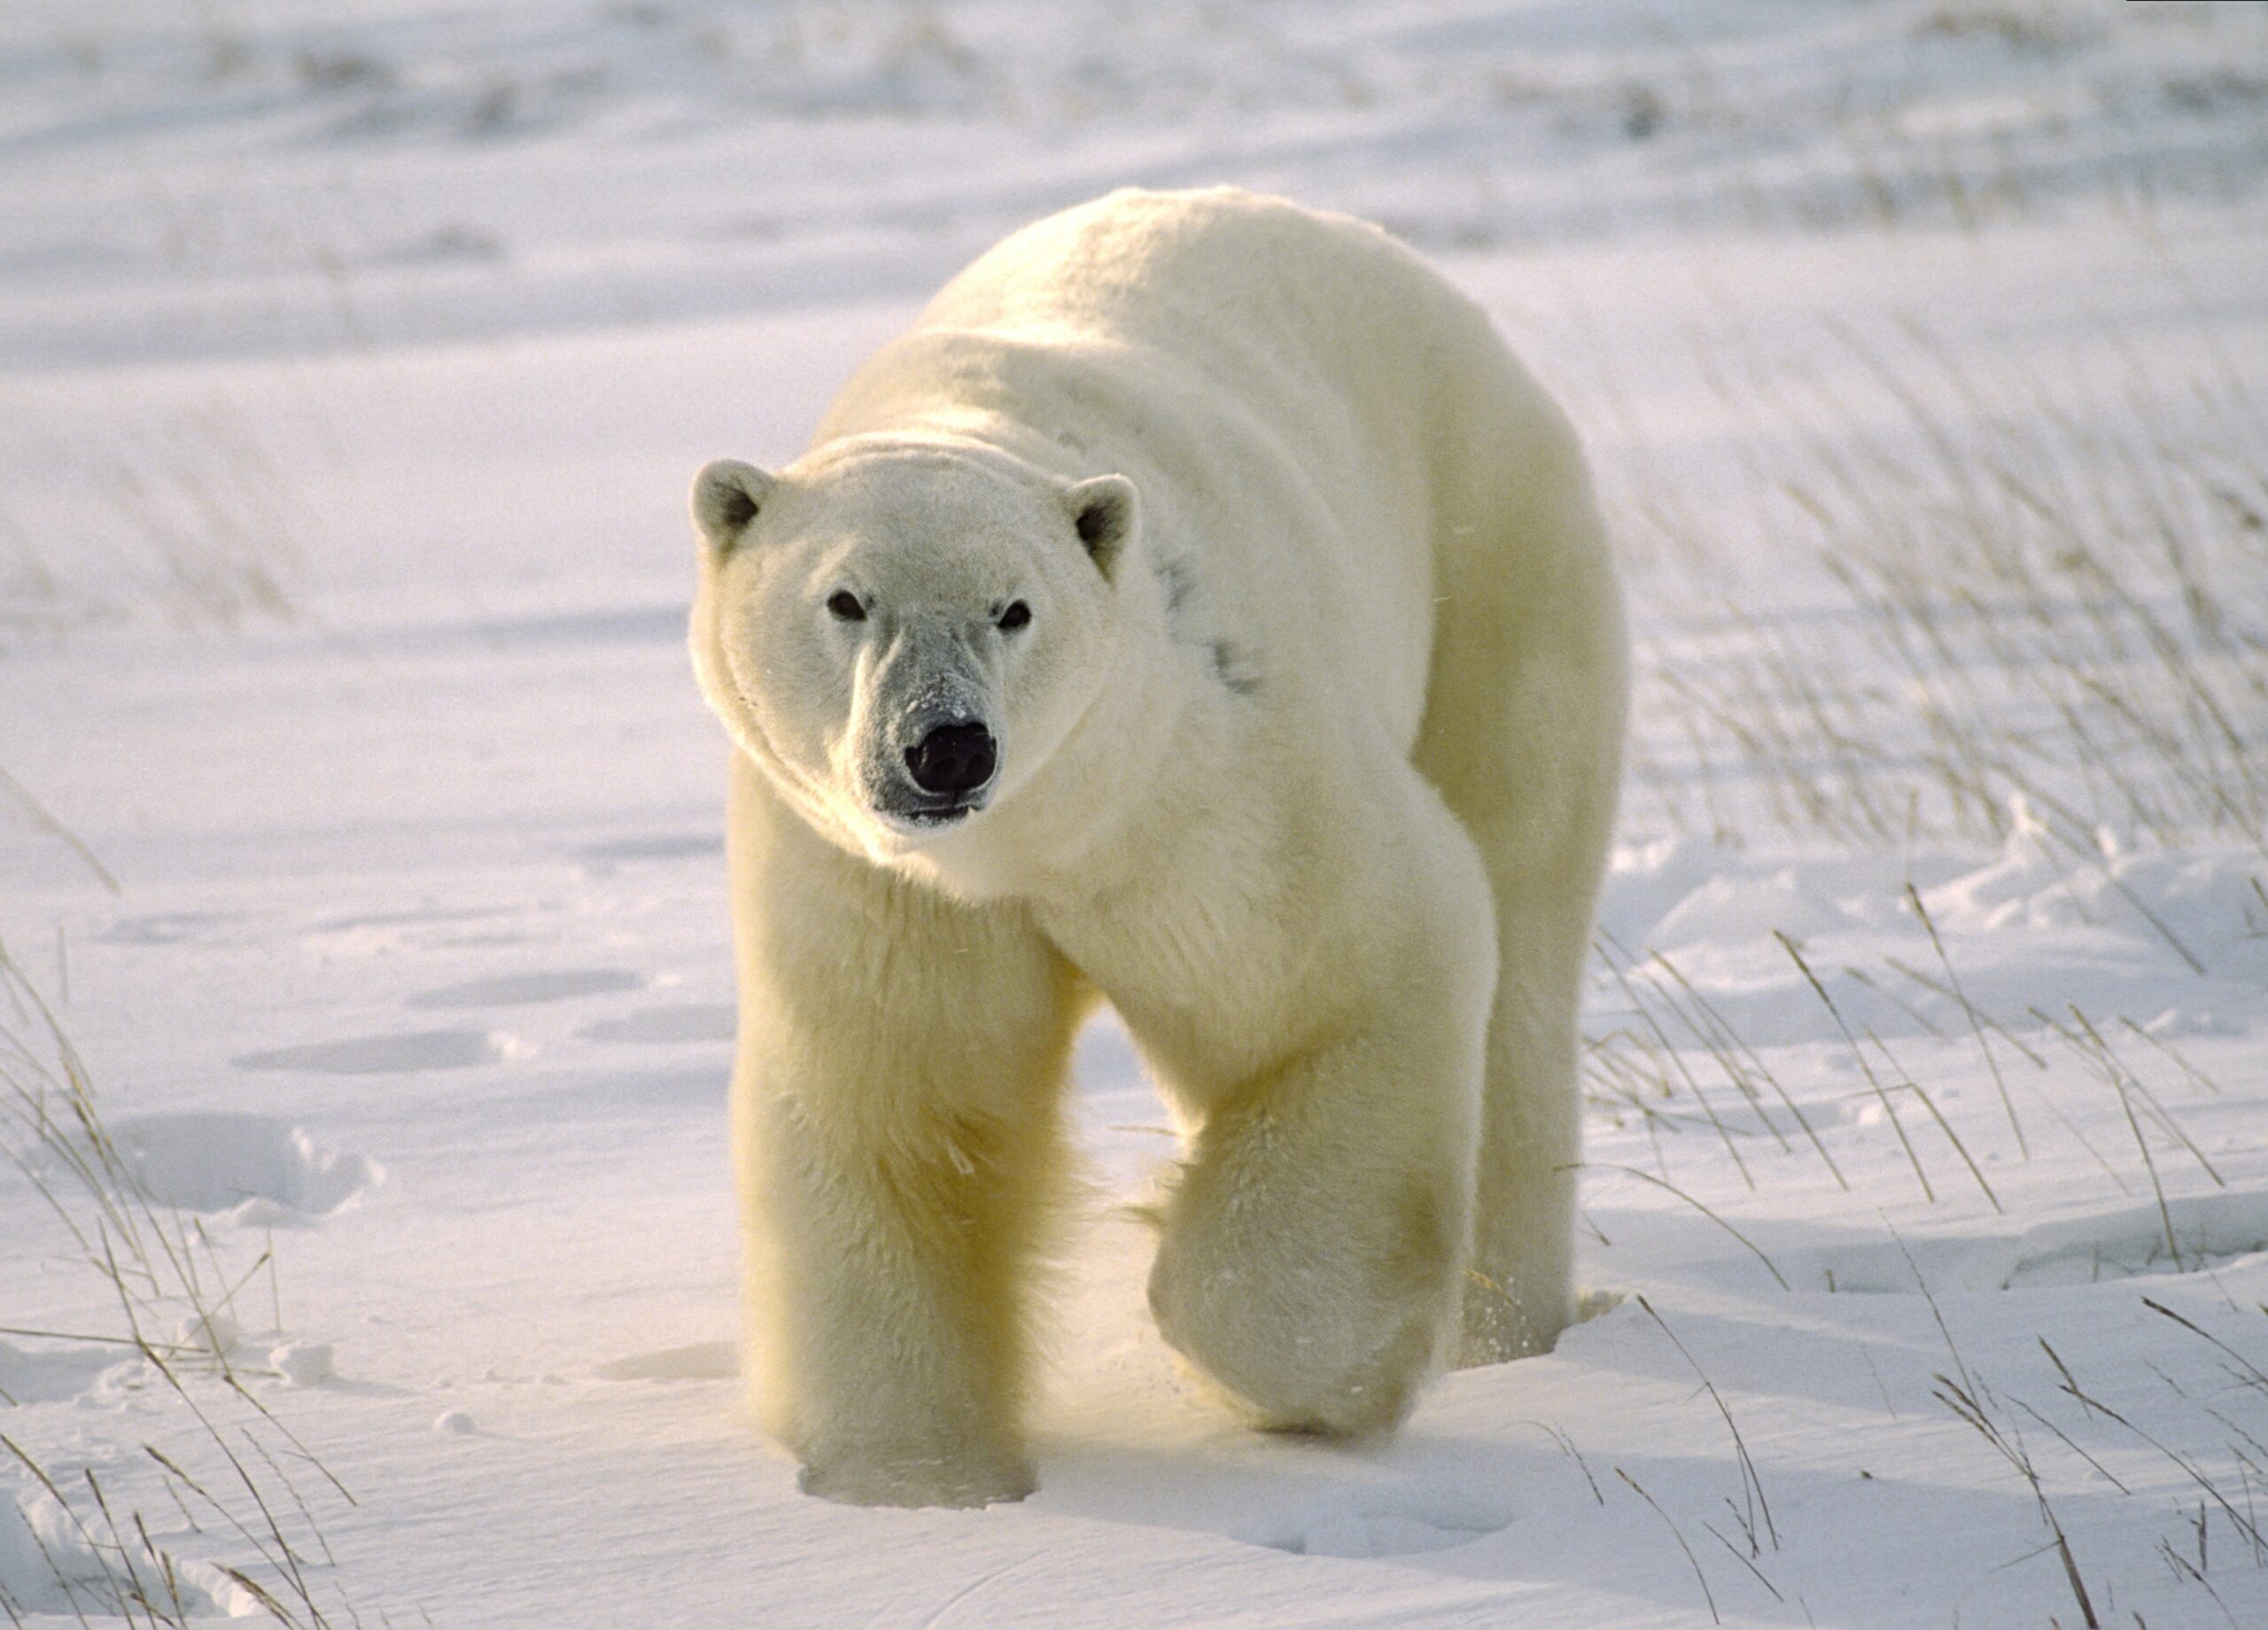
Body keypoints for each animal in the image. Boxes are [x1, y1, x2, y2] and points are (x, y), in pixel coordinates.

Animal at [687, 186, 1626, 1509]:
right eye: (846, 599)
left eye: (1015, 609)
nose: (946, 747)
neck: (1033, 841)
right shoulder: (879, 883)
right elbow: (906, 1112)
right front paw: (917, 1478)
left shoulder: (1200, 784)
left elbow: (1354, 967)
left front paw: (1291, 1369)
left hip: (1496, 565)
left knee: (1524, 923)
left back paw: (1506, 1326)